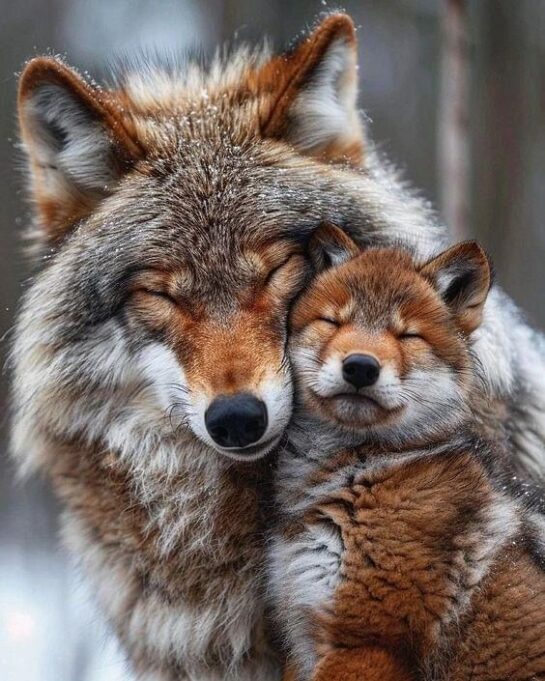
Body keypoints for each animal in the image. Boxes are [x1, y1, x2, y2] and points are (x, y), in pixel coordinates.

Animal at [270, 226, 545, 681]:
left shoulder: (367, 644)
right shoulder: (303, 635)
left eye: (407, 335)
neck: (361, 473)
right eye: (333, 321)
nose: (360, 367)